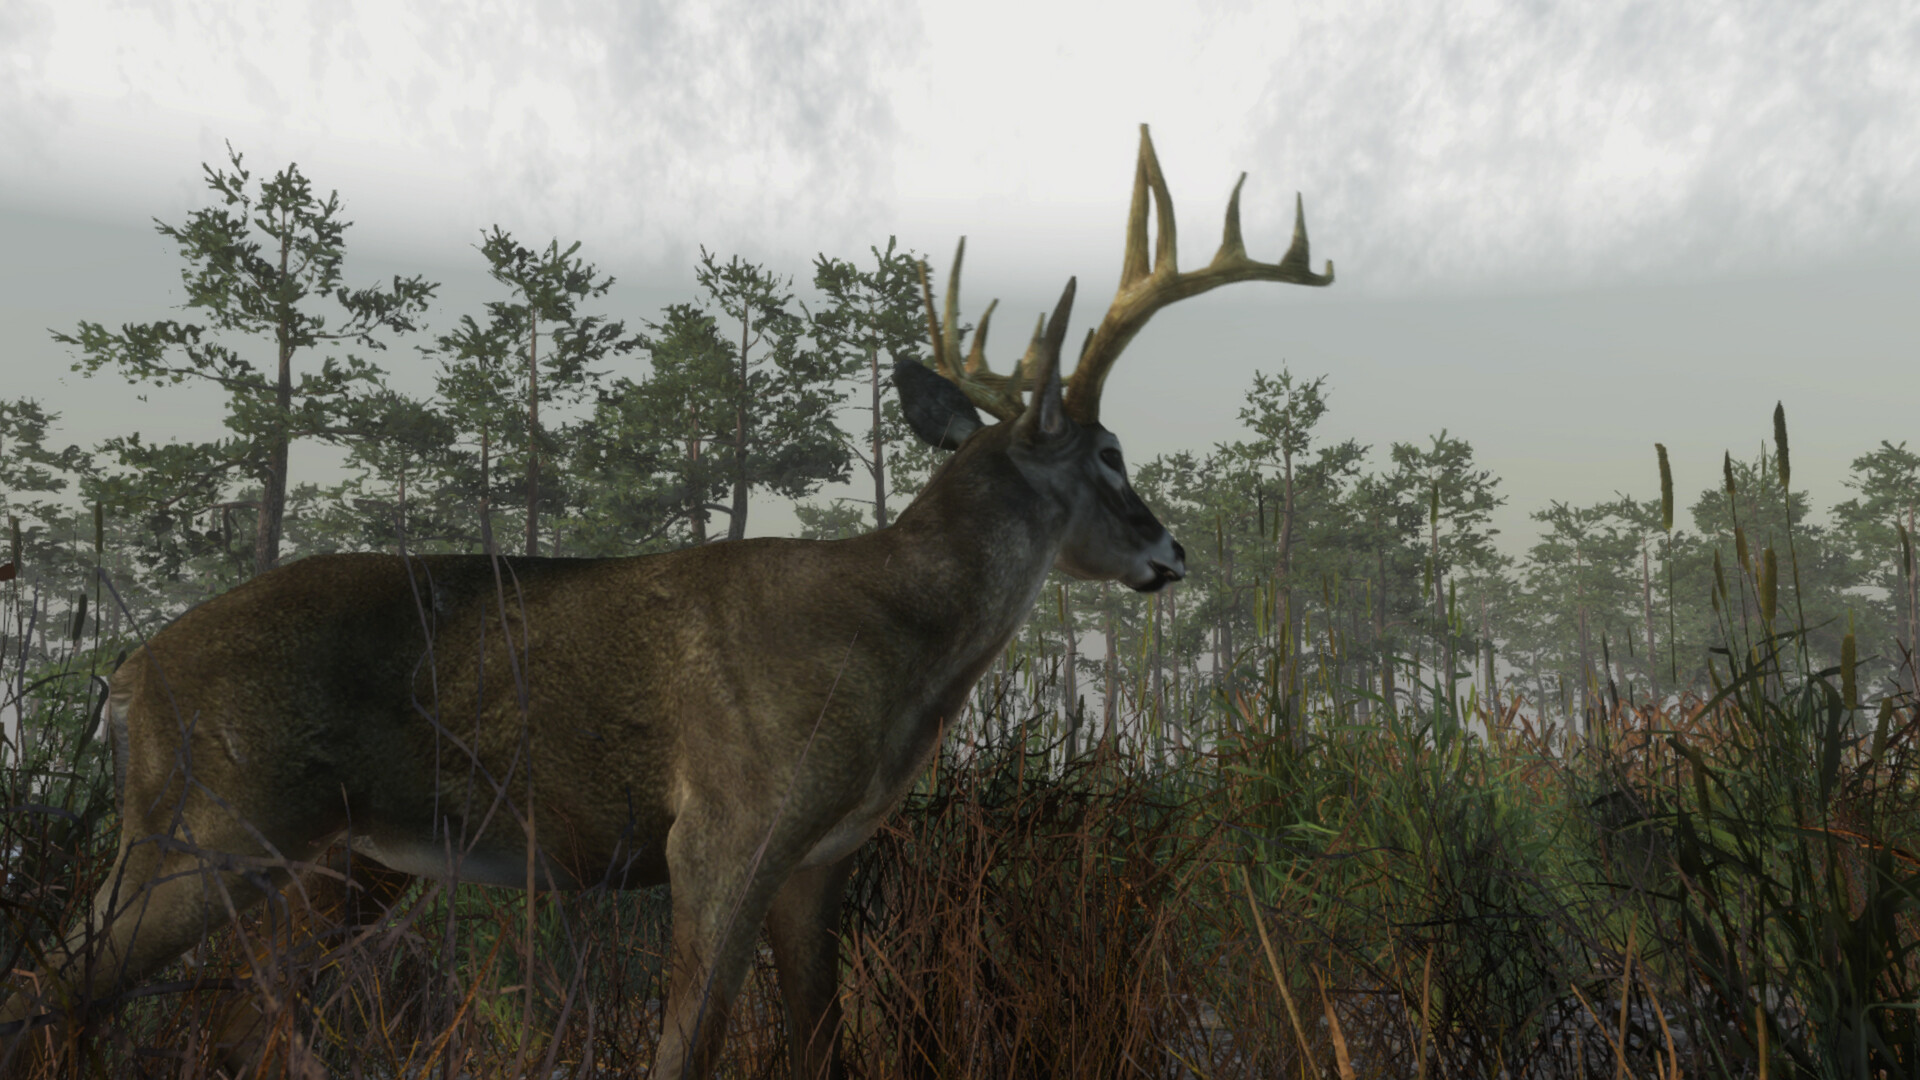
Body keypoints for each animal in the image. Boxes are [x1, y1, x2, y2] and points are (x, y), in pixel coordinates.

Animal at [0, 124, 1331, 1079]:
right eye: (1108, 454)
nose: (1172, 551)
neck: (895, 646)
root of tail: (127, 677)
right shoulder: (724, 826)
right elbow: (685, 1049)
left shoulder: (817, 860)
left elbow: (820, 1049)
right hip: (209, 821)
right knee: (52, 988)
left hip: (338, 864)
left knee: (235, 1020)